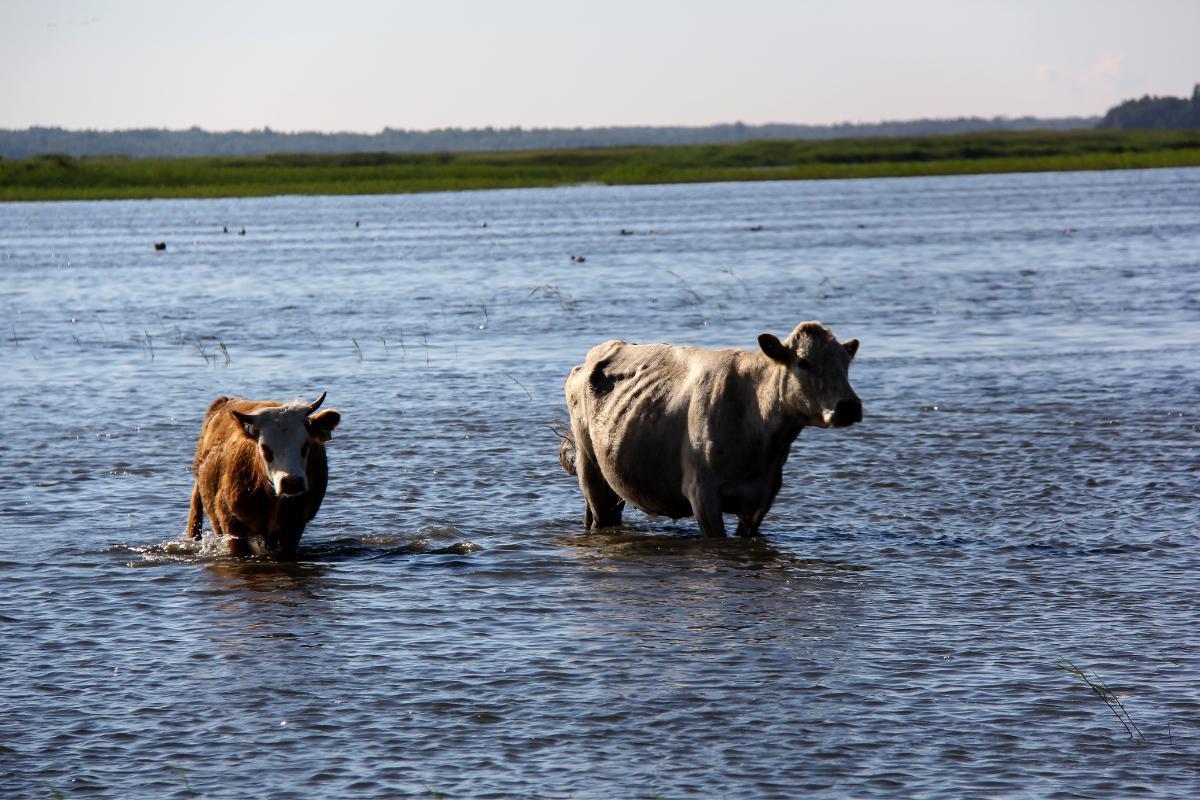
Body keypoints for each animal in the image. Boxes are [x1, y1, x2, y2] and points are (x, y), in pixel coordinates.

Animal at [561, 321, 861, 538]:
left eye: (846, 363)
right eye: (803, 362)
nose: (848, 406)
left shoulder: (762, 497)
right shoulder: (702, 493)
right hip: (591, 469)